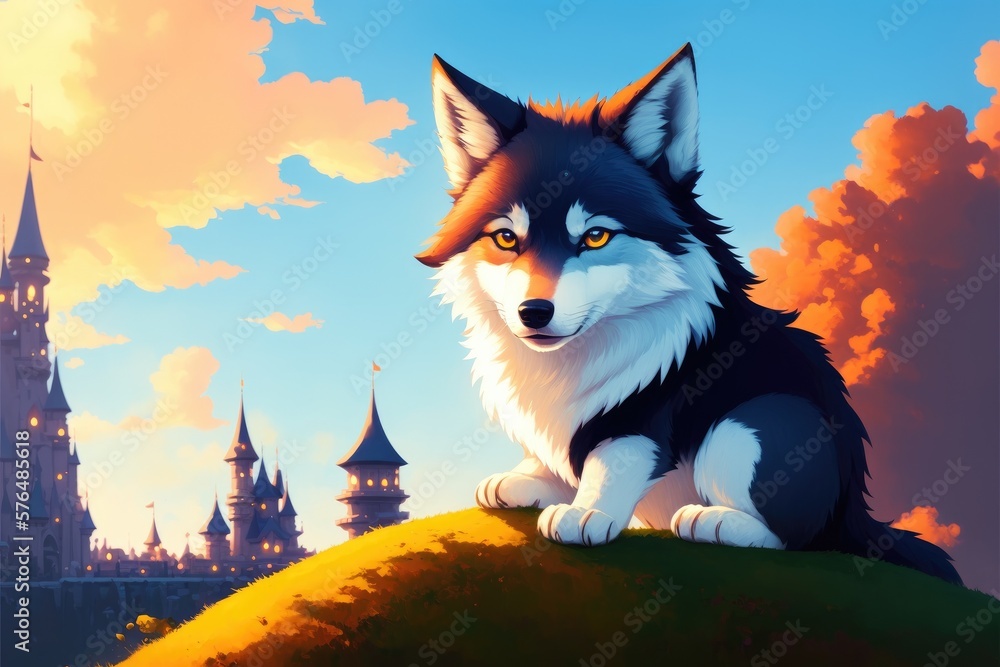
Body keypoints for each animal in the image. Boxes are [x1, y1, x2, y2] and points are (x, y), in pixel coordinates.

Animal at [416, 44, 961, 584]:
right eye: (507, 238)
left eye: (596, 236)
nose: (533, 312)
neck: (576, 357)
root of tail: (854, 513)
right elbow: (557, 457)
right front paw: (526, 481)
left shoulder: (644, 413)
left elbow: (611, 460)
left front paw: (587, 512)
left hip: (749, 427)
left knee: (798, 539)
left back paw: (713, 522)